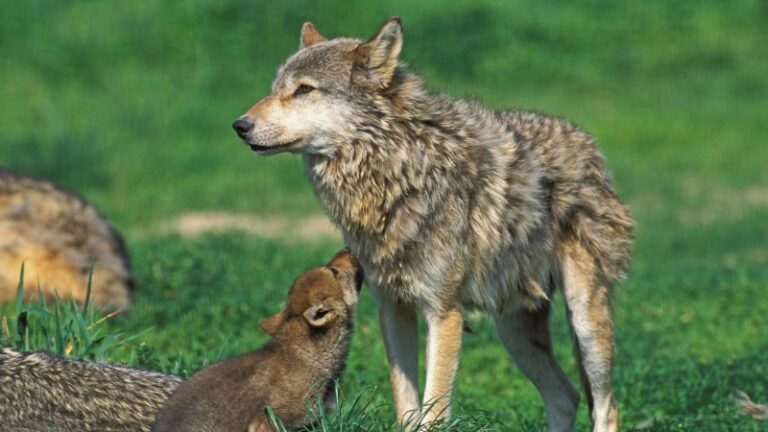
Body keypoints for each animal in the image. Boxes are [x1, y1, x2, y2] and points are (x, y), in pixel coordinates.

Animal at [232, 17, 634, 432]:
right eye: (276, 88)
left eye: (304, 90)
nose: (239, 125)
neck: (395, 176)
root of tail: (588, 144)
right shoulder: (394, 311)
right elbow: (407, 410)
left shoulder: (444, 314)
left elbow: (434, 413)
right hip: (515, 333)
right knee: (565, 397)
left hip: (585, 325)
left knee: (605, 406)